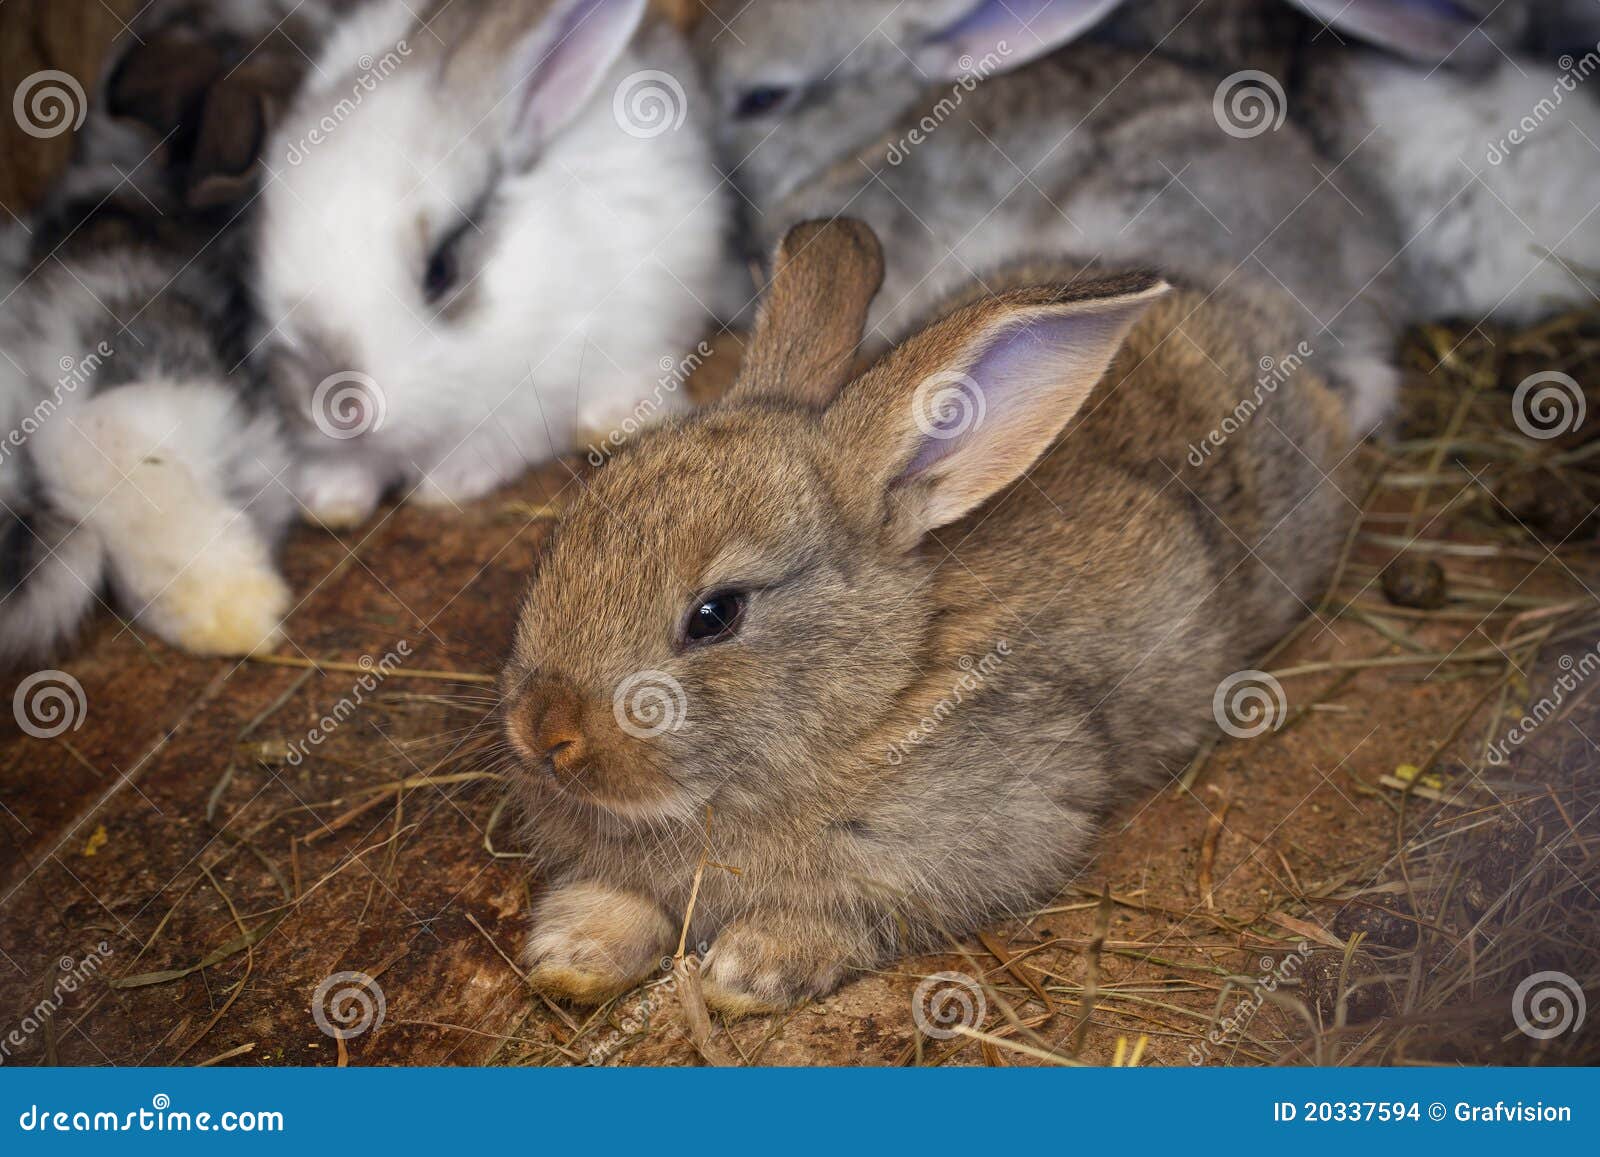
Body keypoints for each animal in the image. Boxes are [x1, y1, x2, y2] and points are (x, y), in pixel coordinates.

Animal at [497, 217, 1360, 1011]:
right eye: (565, 534)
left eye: (716, 614)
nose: (543, 732)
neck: (875, 690)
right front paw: (574, 953)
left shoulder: (1006, 828)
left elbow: (861, 911)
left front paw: (751, 970)